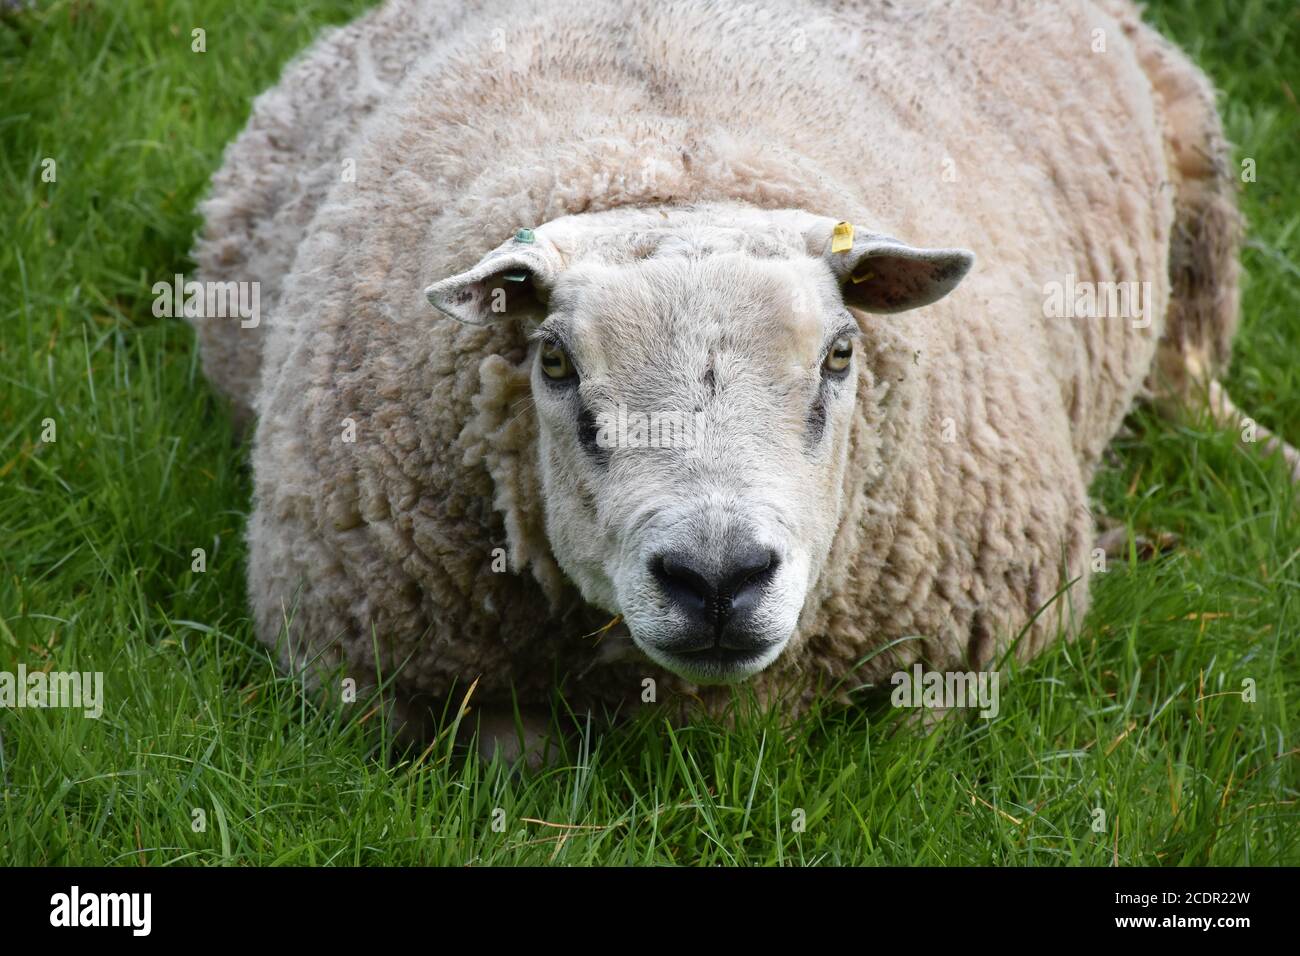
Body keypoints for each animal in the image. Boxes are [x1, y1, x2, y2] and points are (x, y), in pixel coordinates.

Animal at [189, 0, 1296, 752]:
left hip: (1194, 179)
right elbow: (513, 751)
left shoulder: (974, 647)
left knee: (1191, 379)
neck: (673, 169)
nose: (717, 578)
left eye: (841, 353)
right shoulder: (379, 681)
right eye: (555, 360)